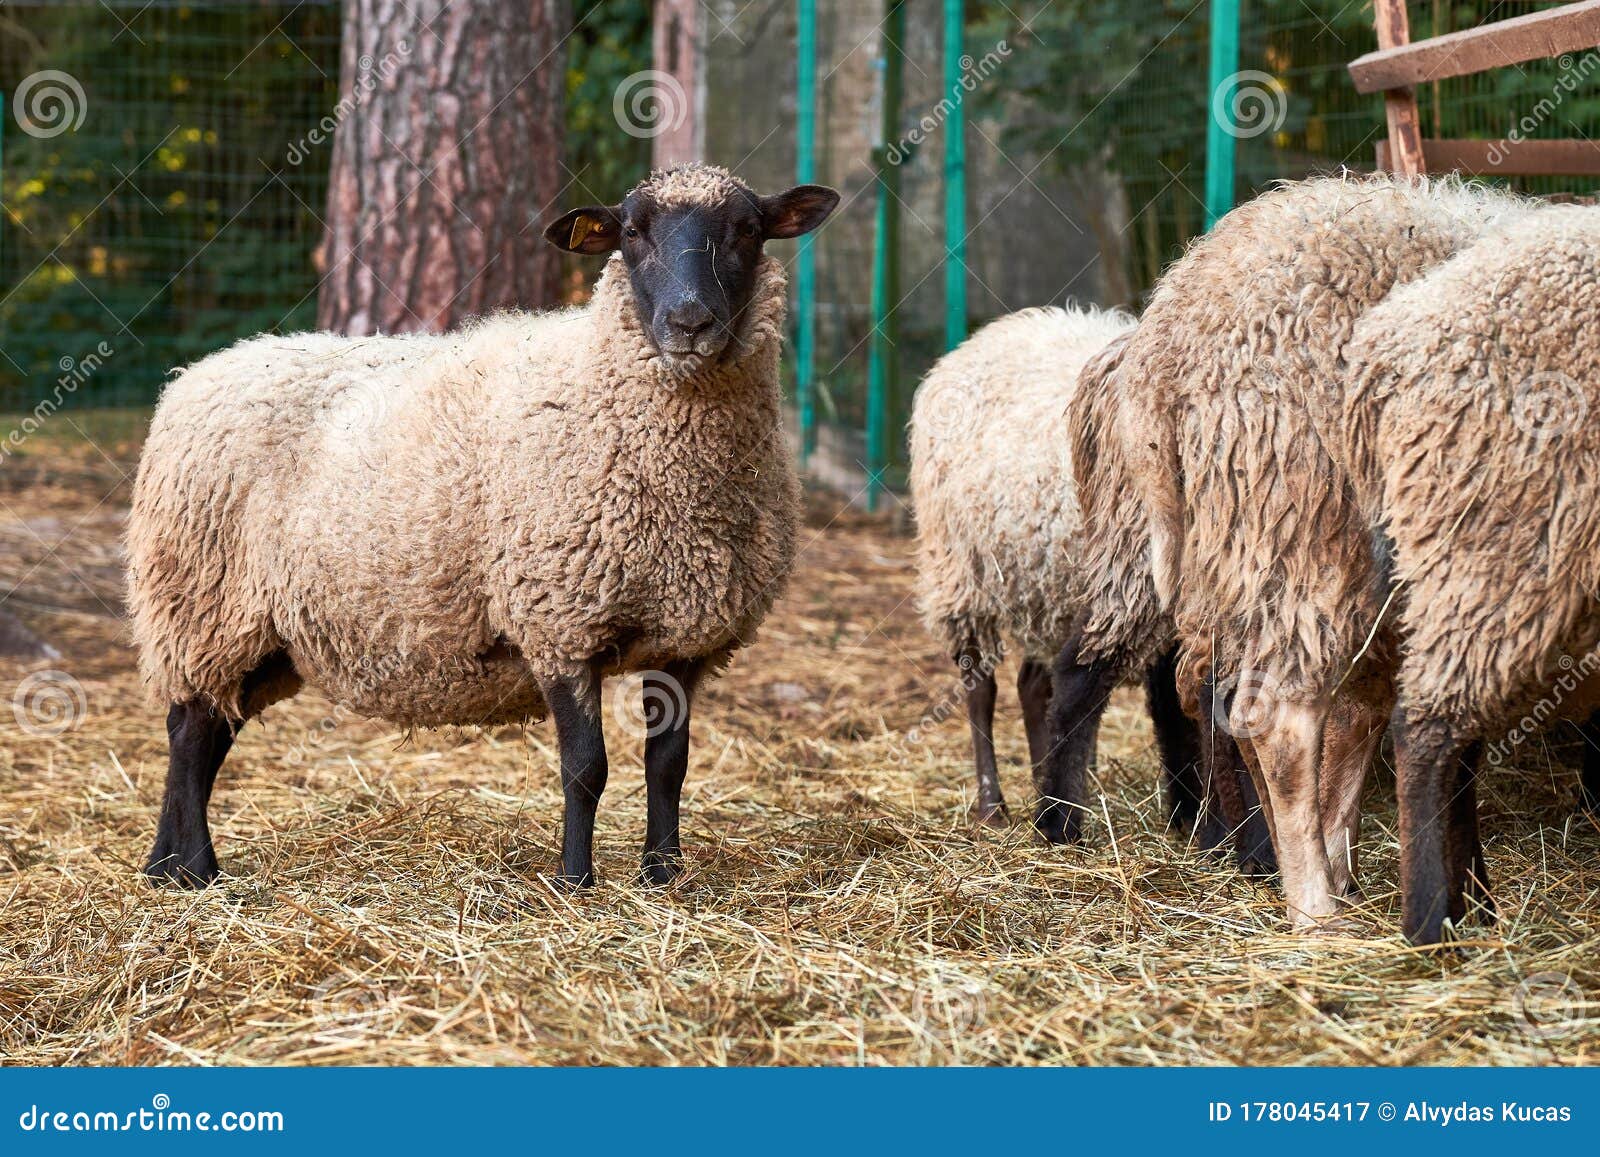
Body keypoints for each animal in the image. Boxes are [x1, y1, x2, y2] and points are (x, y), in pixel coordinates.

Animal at [126, 163, 840, 889]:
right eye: (633, 233)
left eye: (747, 230)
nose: (690, 321)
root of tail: (197, 373)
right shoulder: (558, 621)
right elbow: (586, 769)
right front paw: (574, 882)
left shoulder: (687, 640)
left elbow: (668, 766)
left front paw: (662, 877)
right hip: (202, 604)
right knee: (189, 734)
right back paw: (196, 870)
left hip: (262, 635)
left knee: (207, 727)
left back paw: (169, 867)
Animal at [911, 308, 1271, 865]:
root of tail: (978, 341)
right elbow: (1189, 708)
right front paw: (1208, 828)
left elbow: (1181, 706)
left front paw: (1196, 820)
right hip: (962, 573)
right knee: (981, 686)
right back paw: (995, 806)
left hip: (1048, 587)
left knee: (1034, 685)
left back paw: (1045, 782)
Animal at [1070, 173, 1540, 928]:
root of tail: (1168, 339)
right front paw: (1471, 896)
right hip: (1301, 525)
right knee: (1277, 715)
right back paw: (1316, 905)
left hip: (1250, 557)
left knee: (1249, 700)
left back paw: (1308, 865)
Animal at [1343, 204, 1600, 943]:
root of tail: (1390, 341)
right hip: (1496, 546)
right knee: (1427, 731)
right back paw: (1432, 923)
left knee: (1459, 740)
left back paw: (1474, 907)